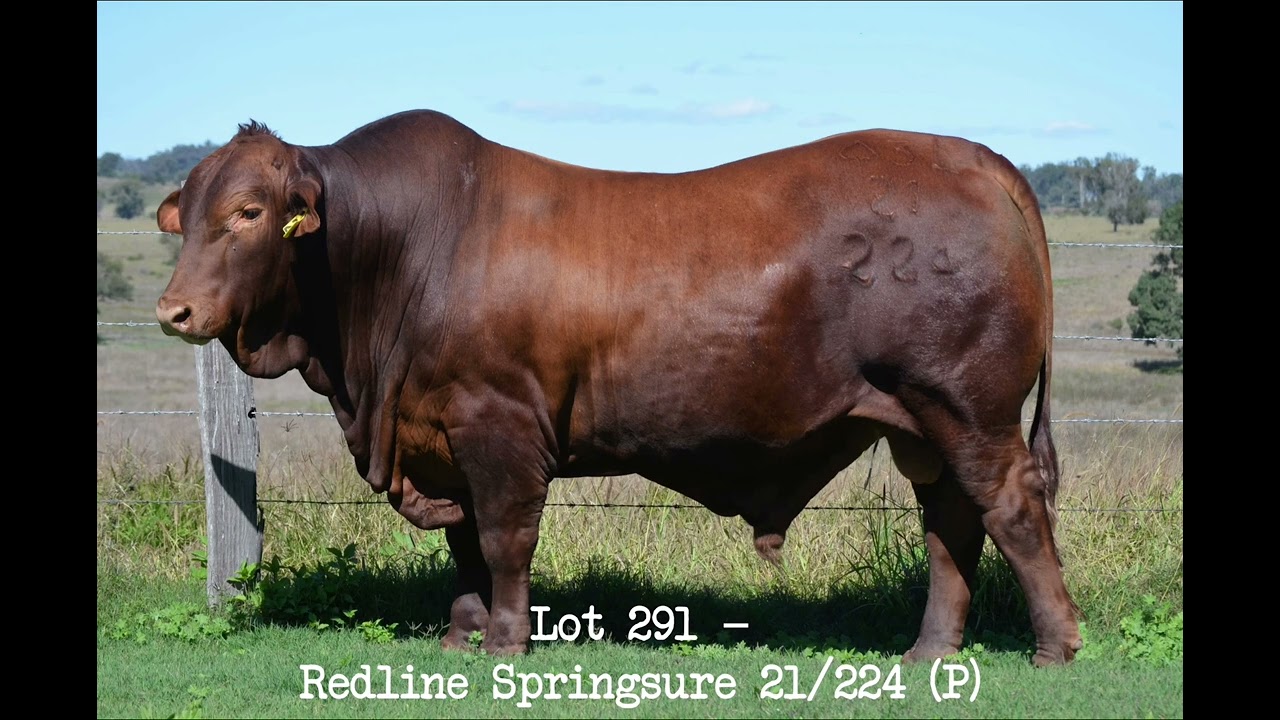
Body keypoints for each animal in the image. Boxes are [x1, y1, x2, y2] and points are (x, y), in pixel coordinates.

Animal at [155, 109, 1082, 665]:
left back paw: (1054, 646)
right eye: (187, 213)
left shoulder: (498, 427)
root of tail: (970, 155)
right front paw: (461, 637)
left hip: (967, 407)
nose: (175, 309)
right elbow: (463, 545)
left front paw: (505, 643)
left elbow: (504, 540)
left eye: (248, 213)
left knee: (1010, 509)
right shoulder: (440, 436)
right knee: (950, 523)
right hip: (923, 424)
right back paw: (930, 652)